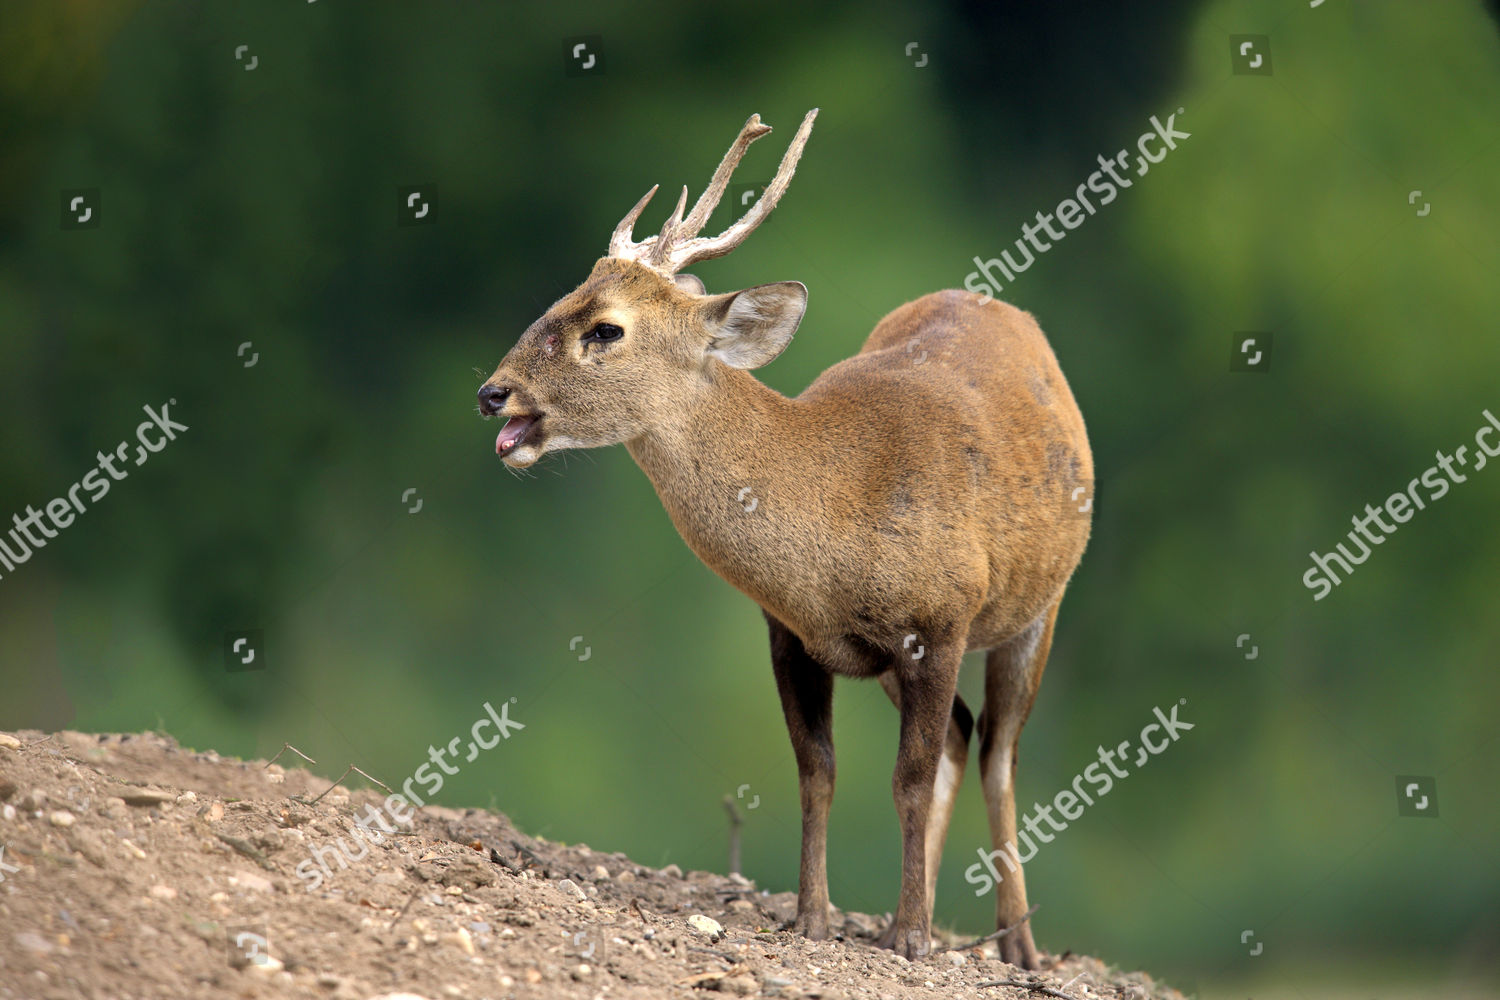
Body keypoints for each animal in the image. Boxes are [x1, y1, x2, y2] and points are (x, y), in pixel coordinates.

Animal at [477, 109, 1092, 965]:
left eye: (606, 328)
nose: (493, 392)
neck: (836, 514)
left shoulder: (940, 619)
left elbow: (906, 777)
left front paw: (909, 939)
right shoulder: (791, 634)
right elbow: (817, 772)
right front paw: (814, 918)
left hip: (1040, 604)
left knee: (998, 751)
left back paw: (1014, 945)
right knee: (963, 738)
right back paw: (921, 915)